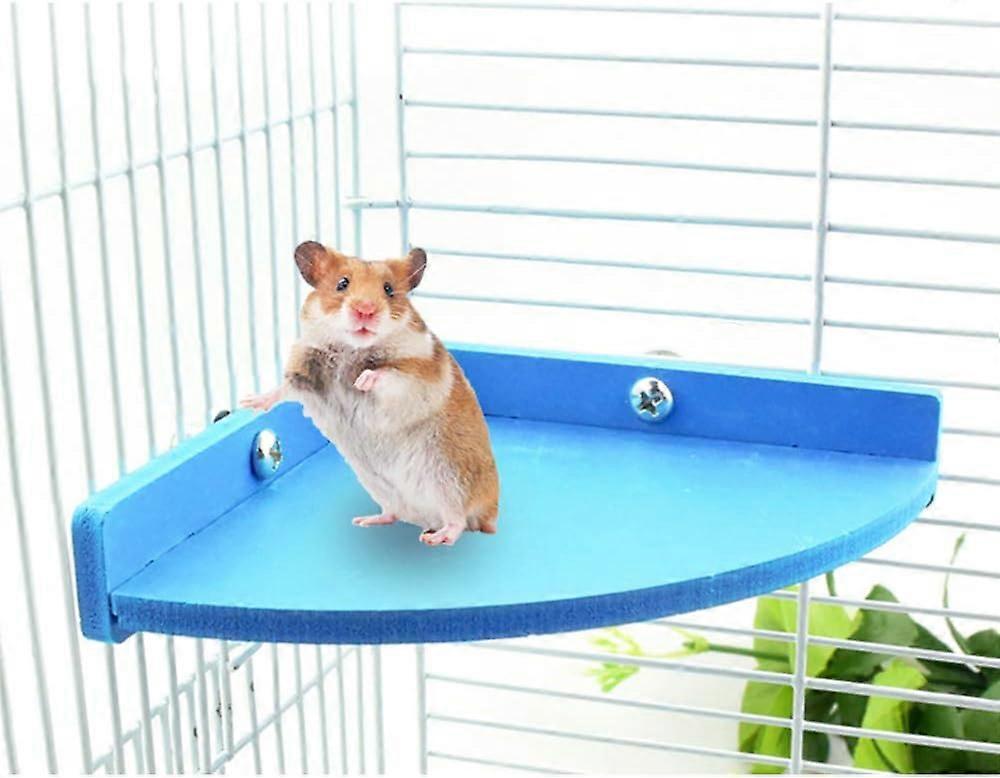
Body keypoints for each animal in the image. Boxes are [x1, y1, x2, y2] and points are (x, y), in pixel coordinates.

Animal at [240, 241, 499, 546]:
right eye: (342, 284)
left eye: (389, 289)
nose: (365, 310)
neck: (352, 348)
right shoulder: (305, 372)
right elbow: (283, 389)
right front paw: (248, 402)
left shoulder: (416, 374)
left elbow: (387, 374)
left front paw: (362, 381)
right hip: (382, 487)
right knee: (393, 513)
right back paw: (365, 521)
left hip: (450, 480)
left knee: (458, 520)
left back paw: (434, 539)